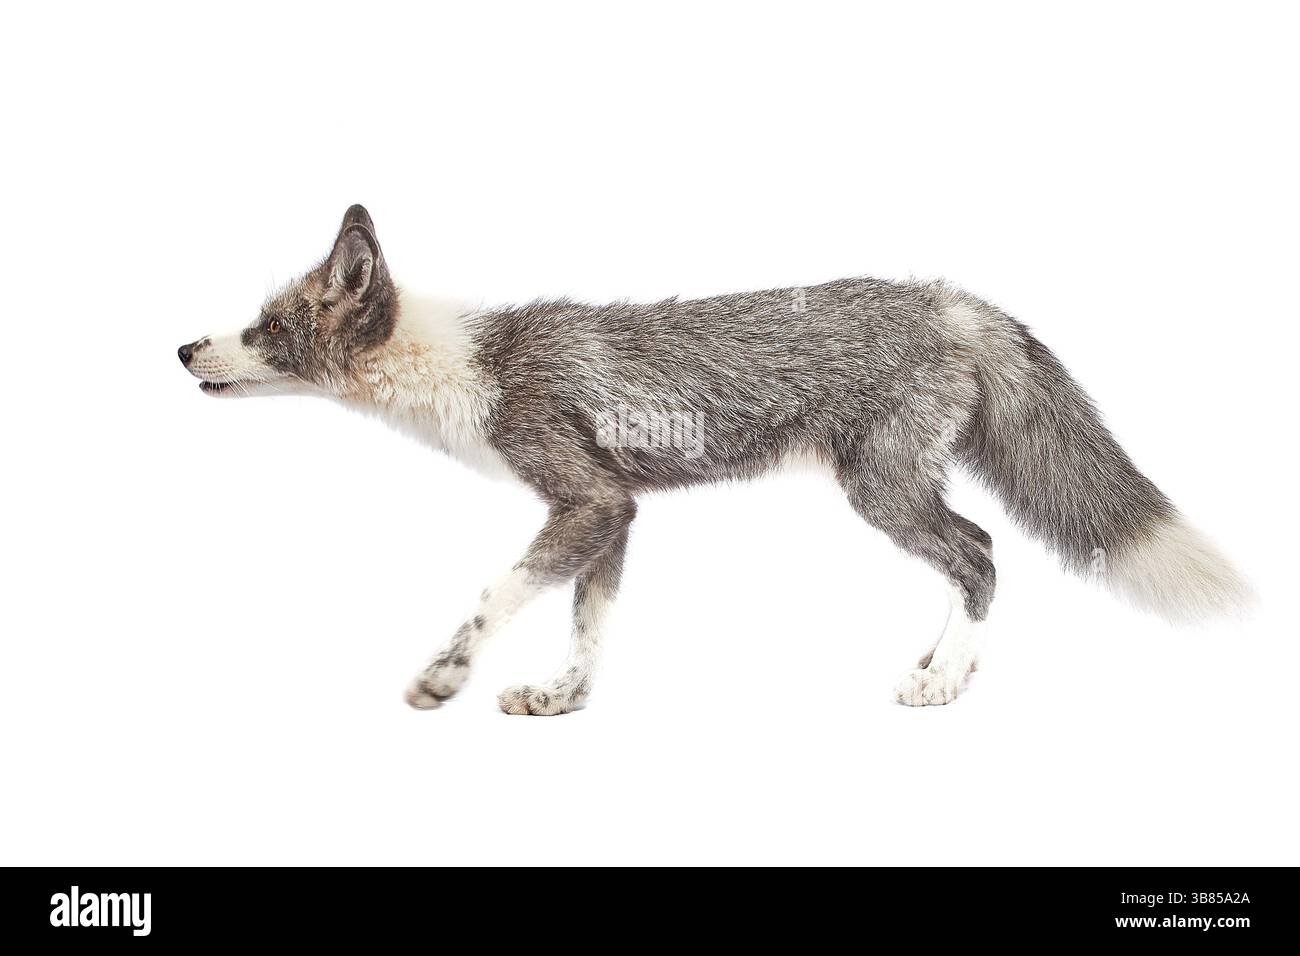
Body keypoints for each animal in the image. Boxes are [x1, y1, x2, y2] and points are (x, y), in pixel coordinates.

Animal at [178, 205, 1252, 713]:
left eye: (265, 329)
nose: (185, 349)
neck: (472, 364)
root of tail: (950, 300)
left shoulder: (584, 499)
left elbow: (493, 596)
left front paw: (445, 679)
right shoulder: (615, 512)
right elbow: (589, 628)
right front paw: (561, 702)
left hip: (881, 491)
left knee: (983, 553)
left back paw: (947, 681)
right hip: (897, 487)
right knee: (973, 557)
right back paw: (945, 661)